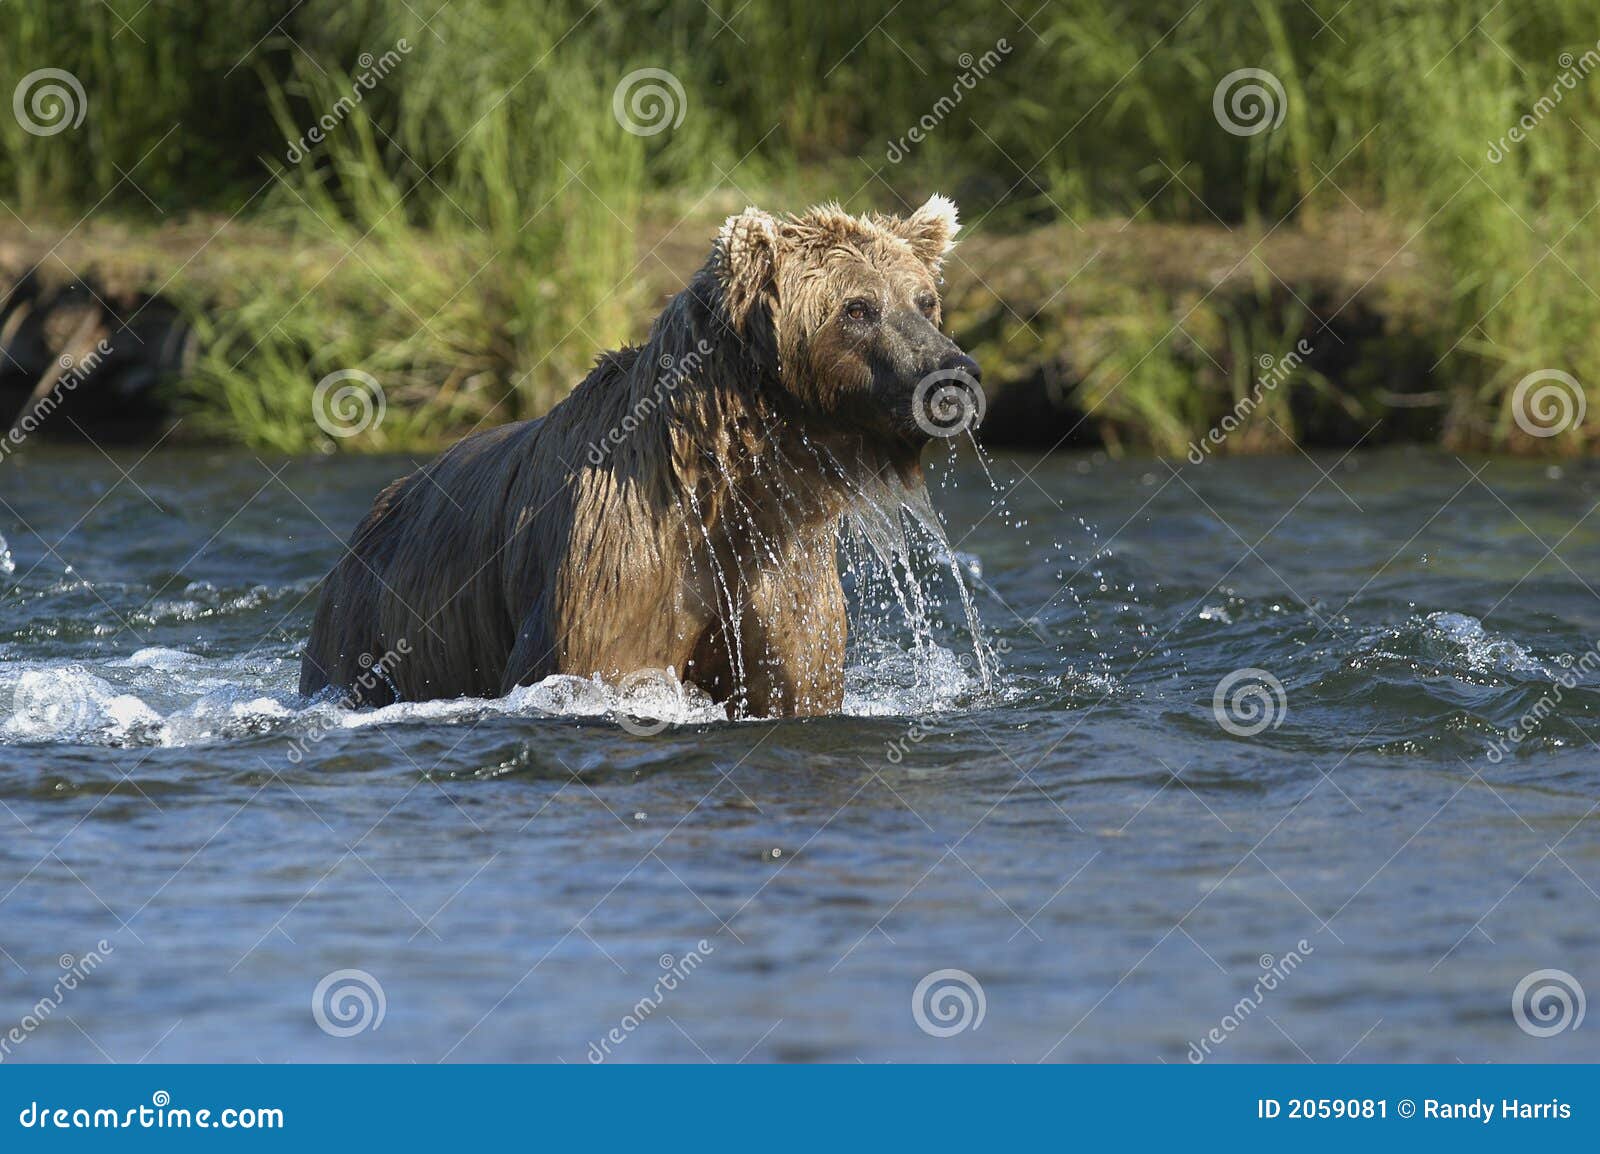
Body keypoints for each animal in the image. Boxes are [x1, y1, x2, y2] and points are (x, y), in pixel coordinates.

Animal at [298, 195, 982, 718]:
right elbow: (601, 663)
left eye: (924, 301)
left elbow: (797, 672)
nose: (953, 373)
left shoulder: (776, 569)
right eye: (857, 308)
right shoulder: (615, 565)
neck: (723, 484)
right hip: (372, 625)